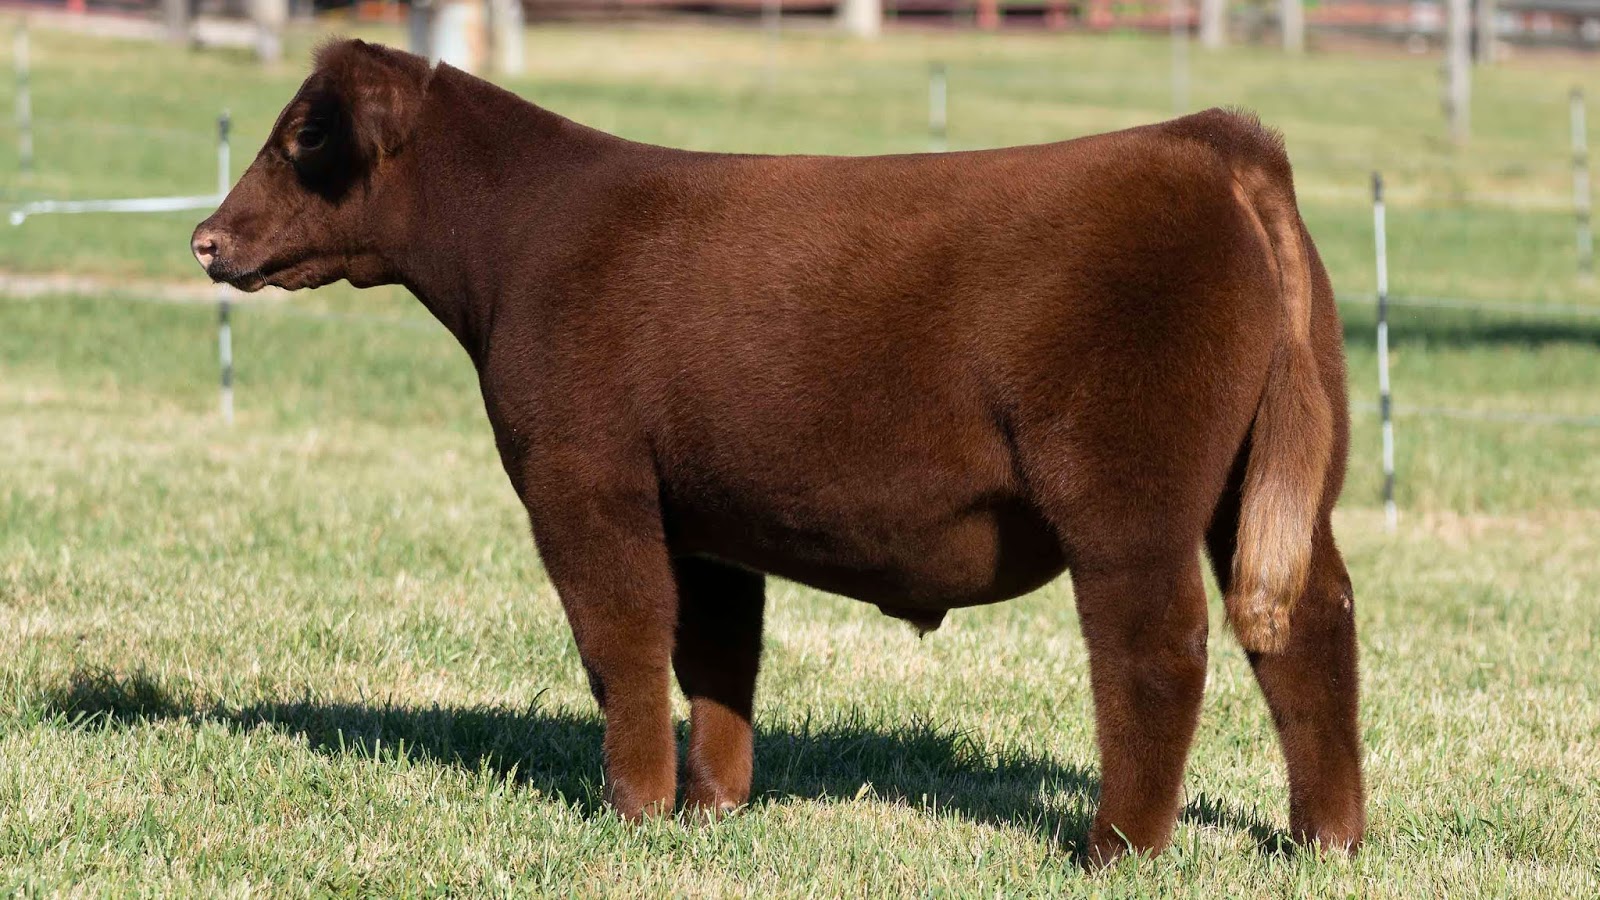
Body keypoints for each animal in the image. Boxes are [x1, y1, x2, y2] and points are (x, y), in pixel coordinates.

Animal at [191, 39, 1364, 864]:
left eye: (302, 137)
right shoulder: (704, 510)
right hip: (1270, 488)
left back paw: (1115, 849)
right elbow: (717, 651)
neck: (522, 239)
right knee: (1309, 621)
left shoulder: (581, 476)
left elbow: (621, 642)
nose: (206, 239)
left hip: (1127, 496)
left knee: (1156, 646)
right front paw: (711, 807)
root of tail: (1212, 140)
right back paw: (1327, 837)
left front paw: (634, 811)